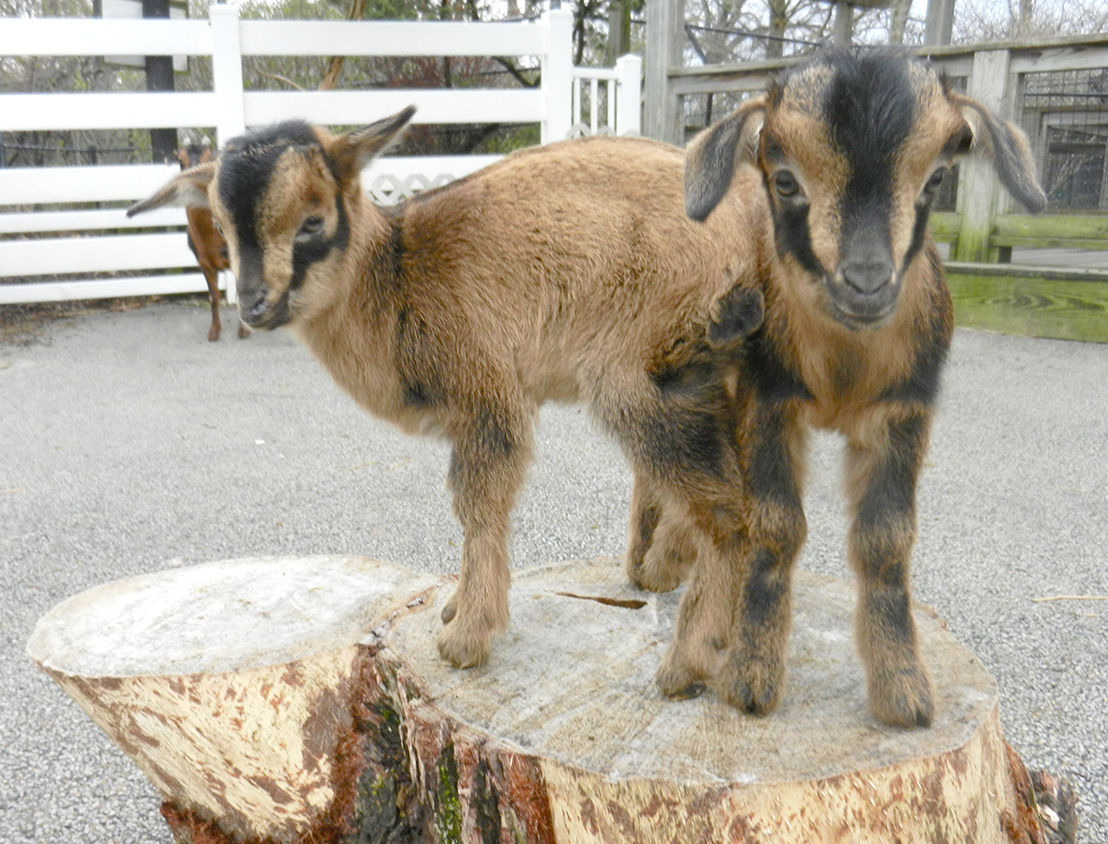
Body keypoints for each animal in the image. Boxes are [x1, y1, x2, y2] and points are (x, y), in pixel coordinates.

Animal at [176, 142, 247, 341]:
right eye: (180, 160)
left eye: (210, 158)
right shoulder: (203, 262)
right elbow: (213, 296)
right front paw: (214, 331)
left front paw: (243, 330)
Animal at [647, 48, 1046, 727]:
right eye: (785, 181)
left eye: (936, 179)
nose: (865, 282)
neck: (843, 373)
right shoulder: (767, 401)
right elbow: (774, 525)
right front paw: (750, 676)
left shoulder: (905, 411)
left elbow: (885, 538)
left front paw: (903, 690)